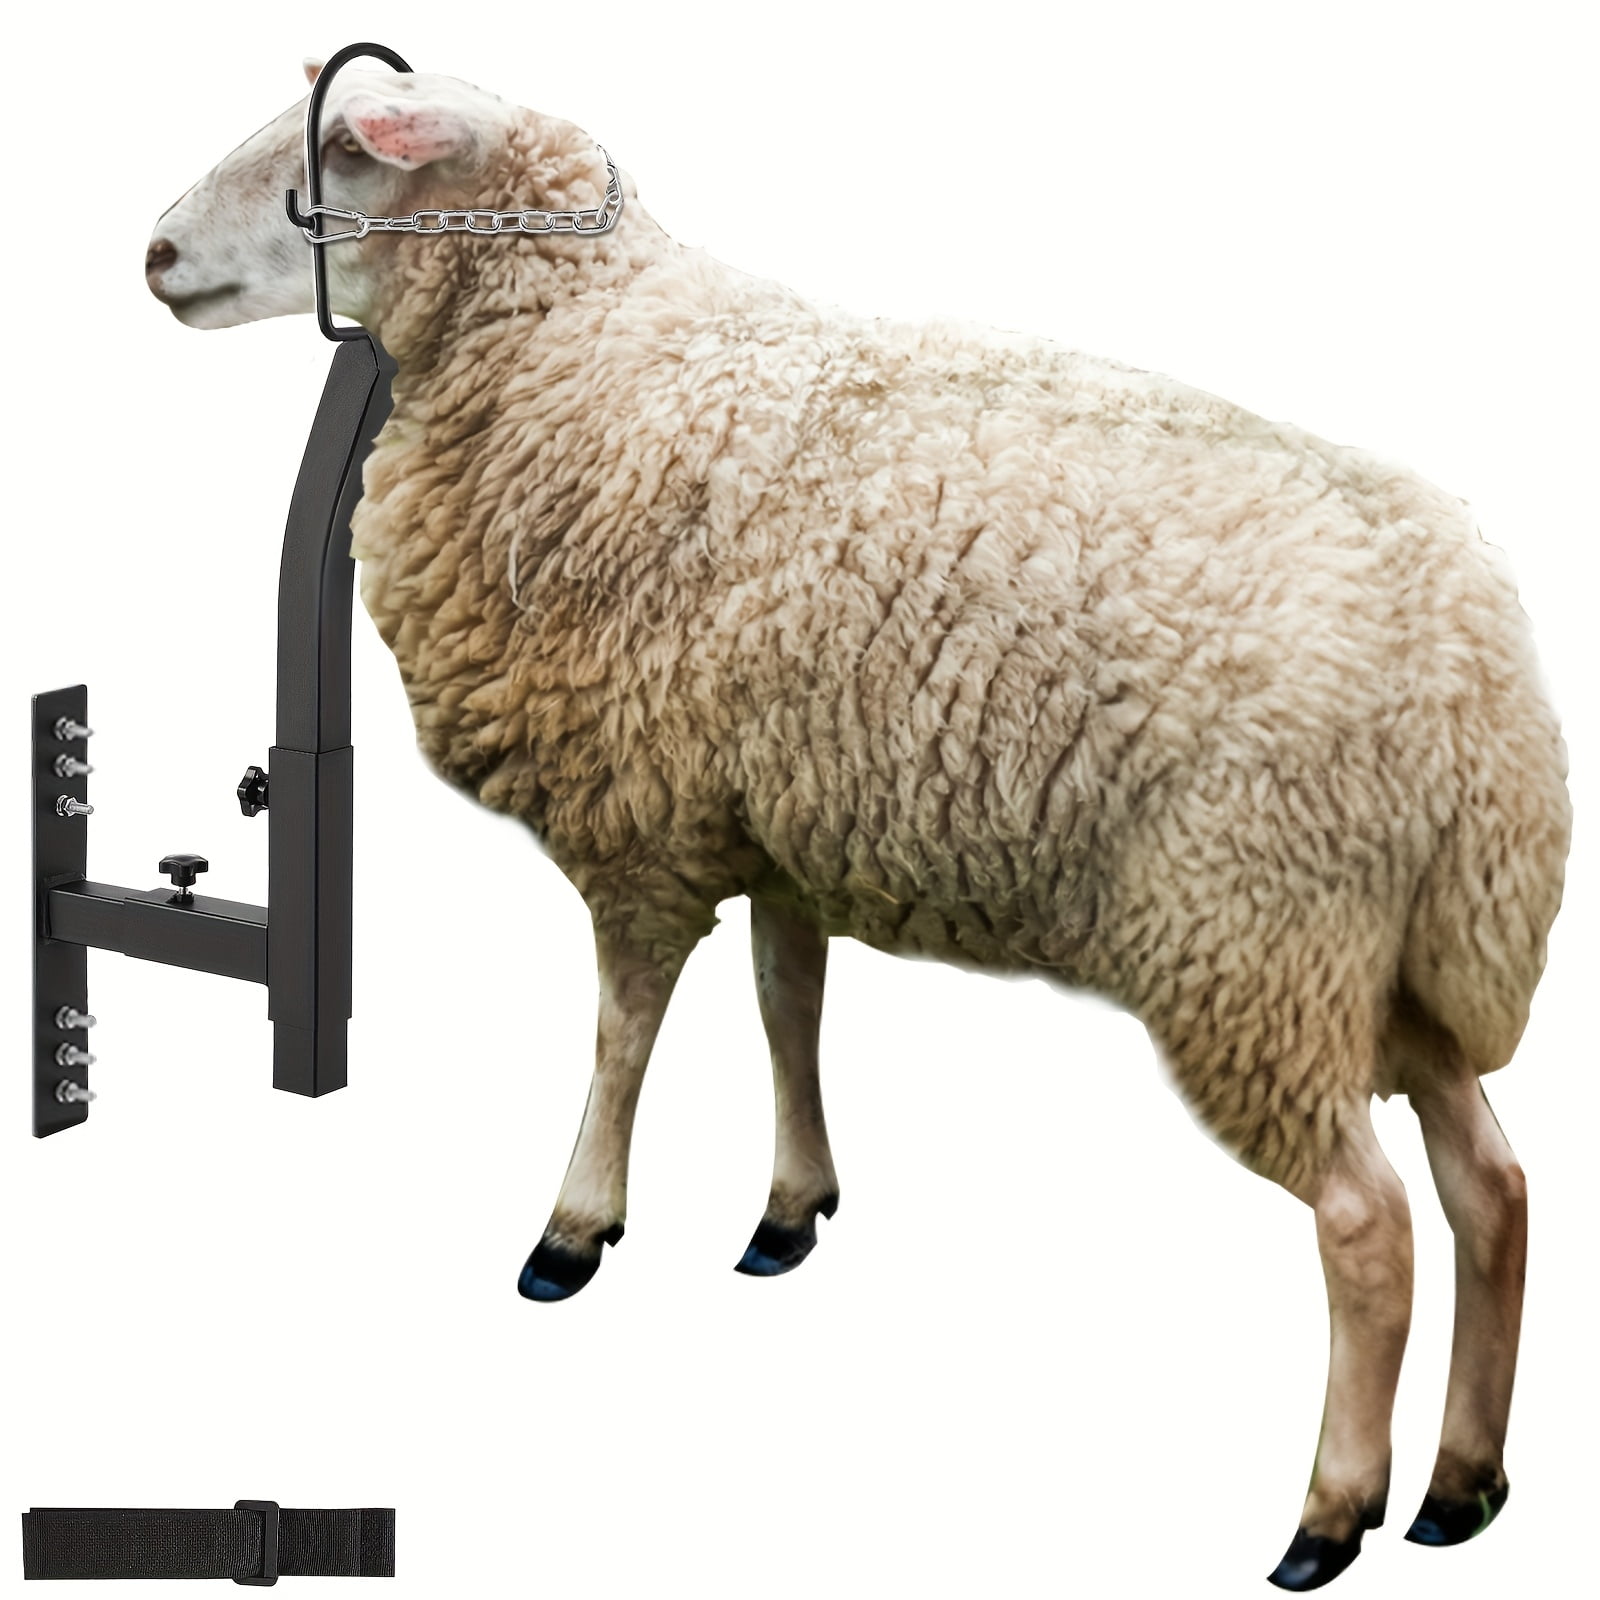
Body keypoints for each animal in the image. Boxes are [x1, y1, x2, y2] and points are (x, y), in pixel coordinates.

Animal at [145, 59, 1571, 1591]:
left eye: (347, 153)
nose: (154, 255)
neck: (580, 351)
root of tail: (1476, 670)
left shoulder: (637, 819)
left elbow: (622, 1035)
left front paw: (574, 1228)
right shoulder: (779, 815)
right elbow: (790, 1007)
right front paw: (791, 1207)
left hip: (1255, 942)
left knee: (1370, 1226)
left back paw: (1331, 1510)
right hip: (1394, 959)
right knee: (1493, 1187)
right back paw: (1464, 1486)